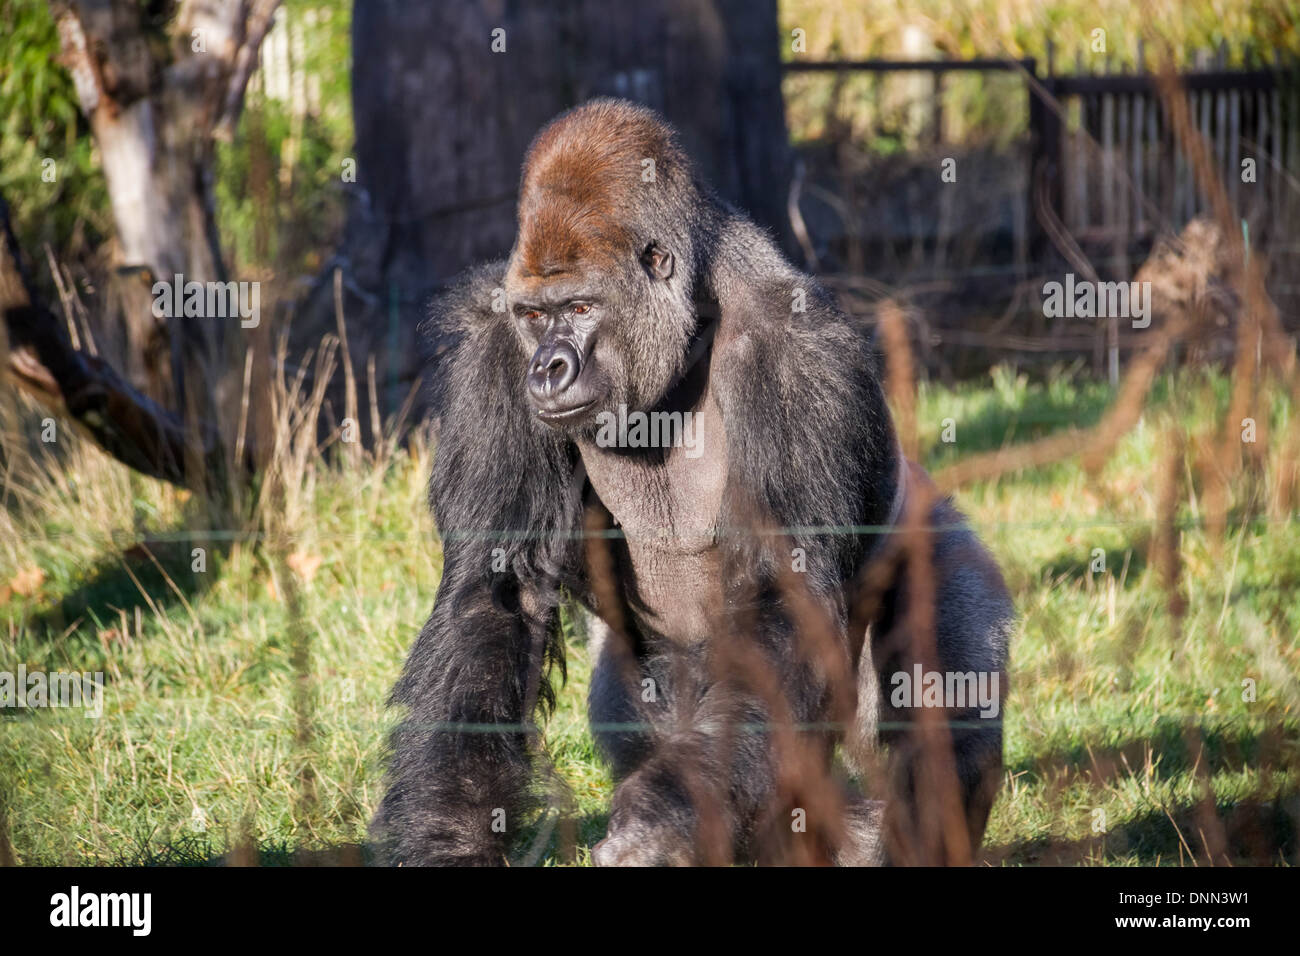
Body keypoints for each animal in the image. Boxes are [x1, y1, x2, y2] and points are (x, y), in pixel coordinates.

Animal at [373, 98, 1013, 866]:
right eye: (533, 316)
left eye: (581, 308)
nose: (548, 368)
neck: (690, 321)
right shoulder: (492, 351)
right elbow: (496, 593)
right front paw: (449, 835)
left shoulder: (799, 356)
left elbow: (782, 601)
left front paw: (658, 825)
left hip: (936, 538)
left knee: (943, 721)